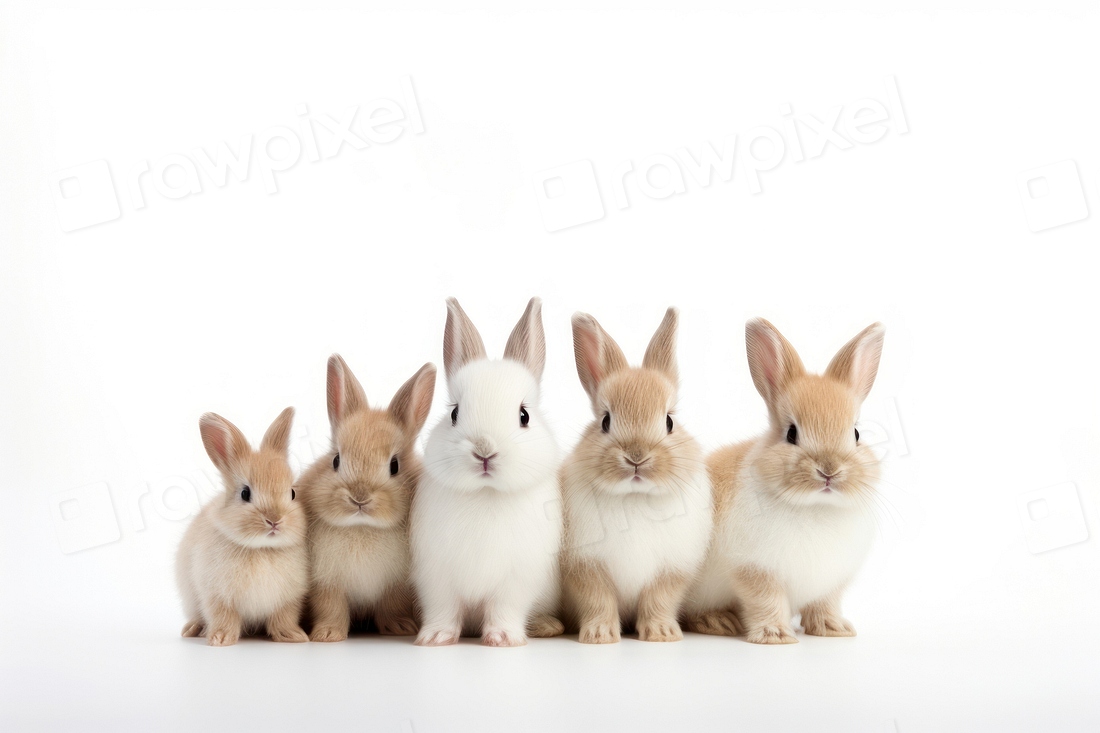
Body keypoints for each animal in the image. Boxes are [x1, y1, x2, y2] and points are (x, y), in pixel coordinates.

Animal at [176, 407, 309, 646]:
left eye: (292, 493)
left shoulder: (288, 600)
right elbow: (224, 617)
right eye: (245, 493)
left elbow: (283, 618)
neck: (262, 549)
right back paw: (192, 629)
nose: (274, 520)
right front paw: (220, 639)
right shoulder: (217, 597)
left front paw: (293, 636)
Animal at [298, 355, 436, 642]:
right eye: (336, 460)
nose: (359, 498)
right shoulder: (327, 583)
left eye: (394, 466)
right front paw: (327, 634)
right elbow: (331, 608)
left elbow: (392, 605)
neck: (362, 527)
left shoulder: (397, 585)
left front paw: (399, 628)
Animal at [411, 297, 564, 647]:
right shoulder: (435, 576)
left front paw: (504, 639)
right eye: (454, 414)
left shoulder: (517, 580)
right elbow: (443, 609)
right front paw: (435, 638)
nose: (484, 450)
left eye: (524, 416)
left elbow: (505, 609)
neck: (486, 493)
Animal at [561, 308, 713, 644]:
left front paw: (662, 633)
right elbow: (598, 600)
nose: (636, 457)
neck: (635, 496)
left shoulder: (670, 572)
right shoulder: (586, 569)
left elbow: (659, 600)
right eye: (605, 421)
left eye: (669, 422)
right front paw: (600, 635)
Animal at [683, 318, 885, 644]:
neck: (816, 506)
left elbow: (825, 605)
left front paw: (834, 629)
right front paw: (775, 636)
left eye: (855, 433)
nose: (829, 471)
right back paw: (718, 621)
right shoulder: (755, 572)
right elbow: (766, 602)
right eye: (791, 433)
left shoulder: (831, 584)